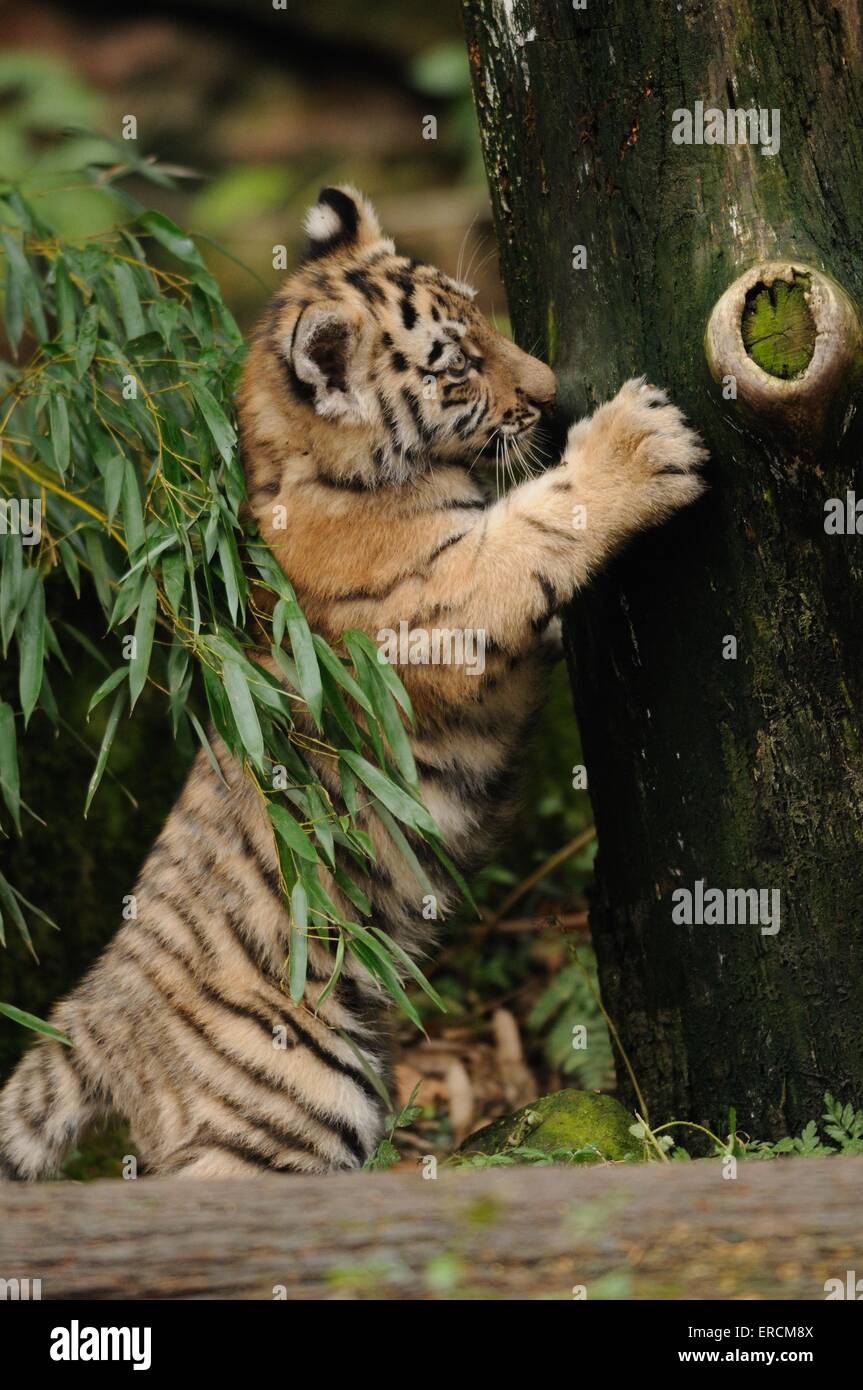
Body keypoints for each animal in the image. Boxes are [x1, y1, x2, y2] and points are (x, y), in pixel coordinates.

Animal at [0, 187, 706, 1180]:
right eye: (457, 366)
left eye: (483, 318)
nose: (548, 395)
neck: (312, 466)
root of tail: (90, 1018)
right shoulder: (445, 600)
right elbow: (537, 524)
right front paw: (638, 442)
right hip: (284, 1104)